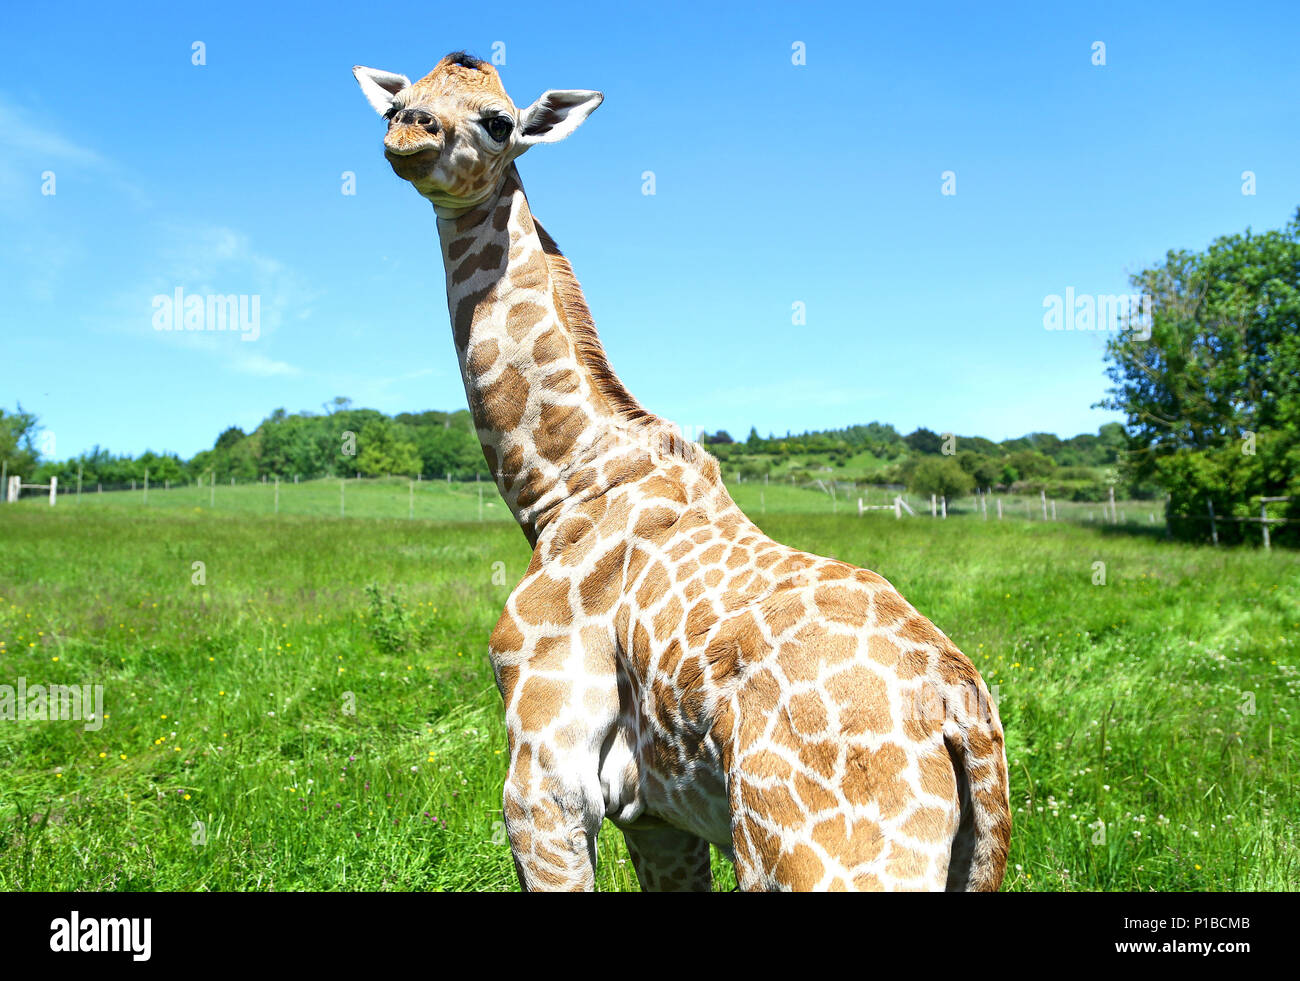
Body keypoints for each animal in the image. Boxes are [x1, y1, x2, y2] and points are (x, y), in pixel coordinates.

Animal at [352, 52, 1011, 891]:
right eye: (396, 103)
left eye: (499, 122)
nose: (408, 134)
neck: (564, 486)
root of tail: (963, 719)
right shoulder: (656, 812)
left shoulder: (544, 780)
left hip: (814, 860)